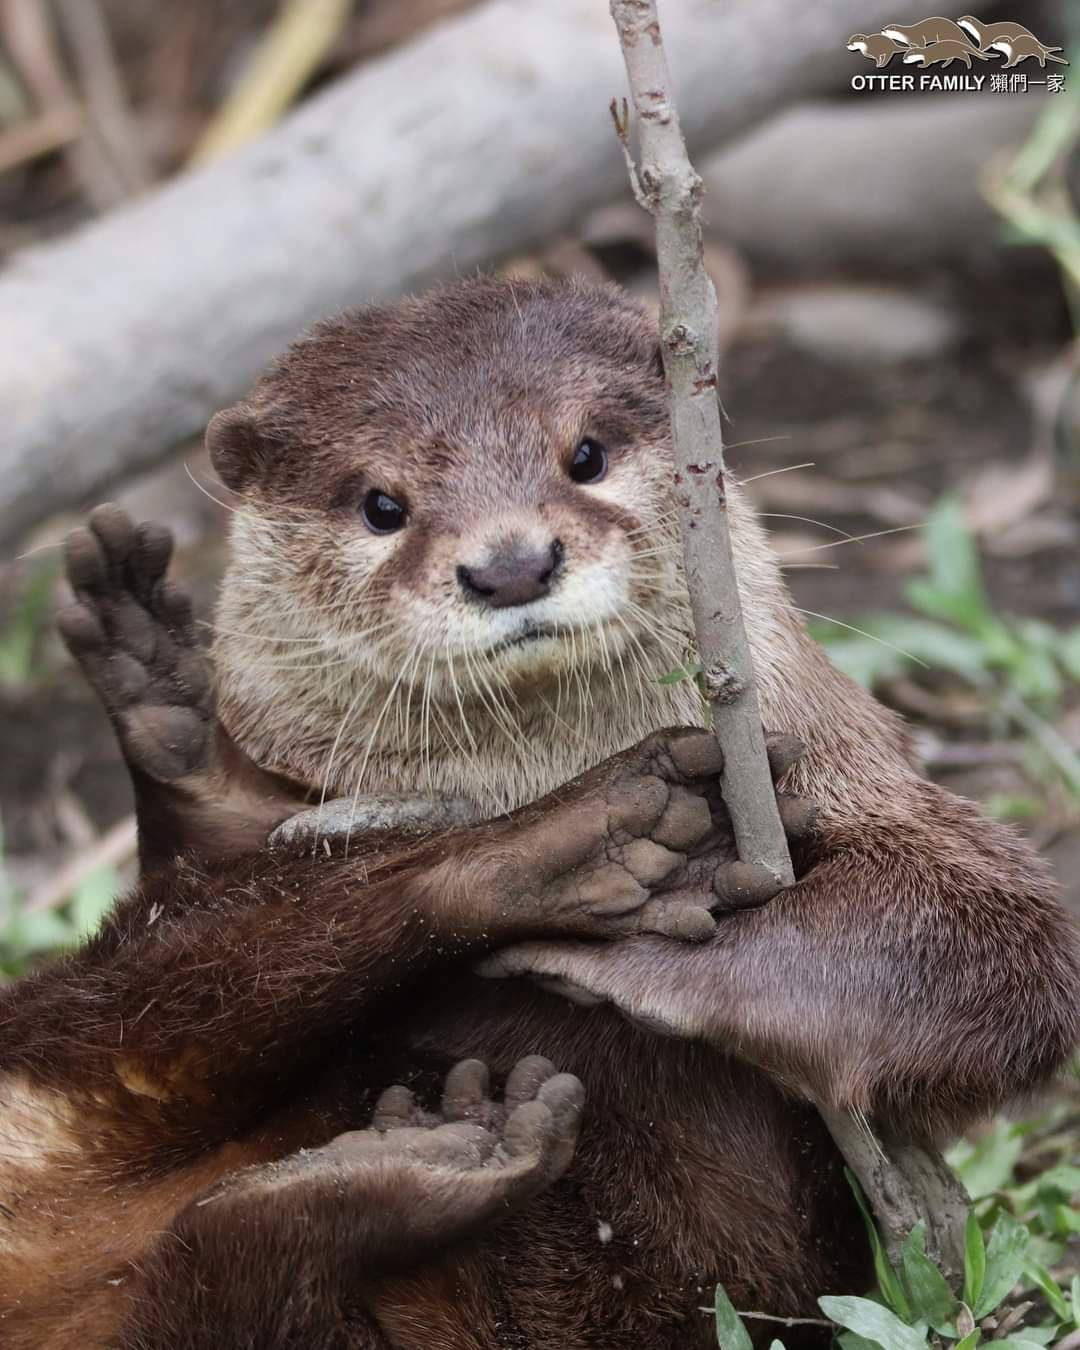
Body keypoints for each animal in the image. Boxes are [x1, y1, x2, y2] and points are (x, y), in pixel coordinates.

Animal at [6, 278, 1078, 1349]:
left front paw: (645, 963)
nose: (512, 564)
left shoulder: (845, 768)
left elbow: (1013, 946)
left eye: (586, 456)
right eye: (382, 506)